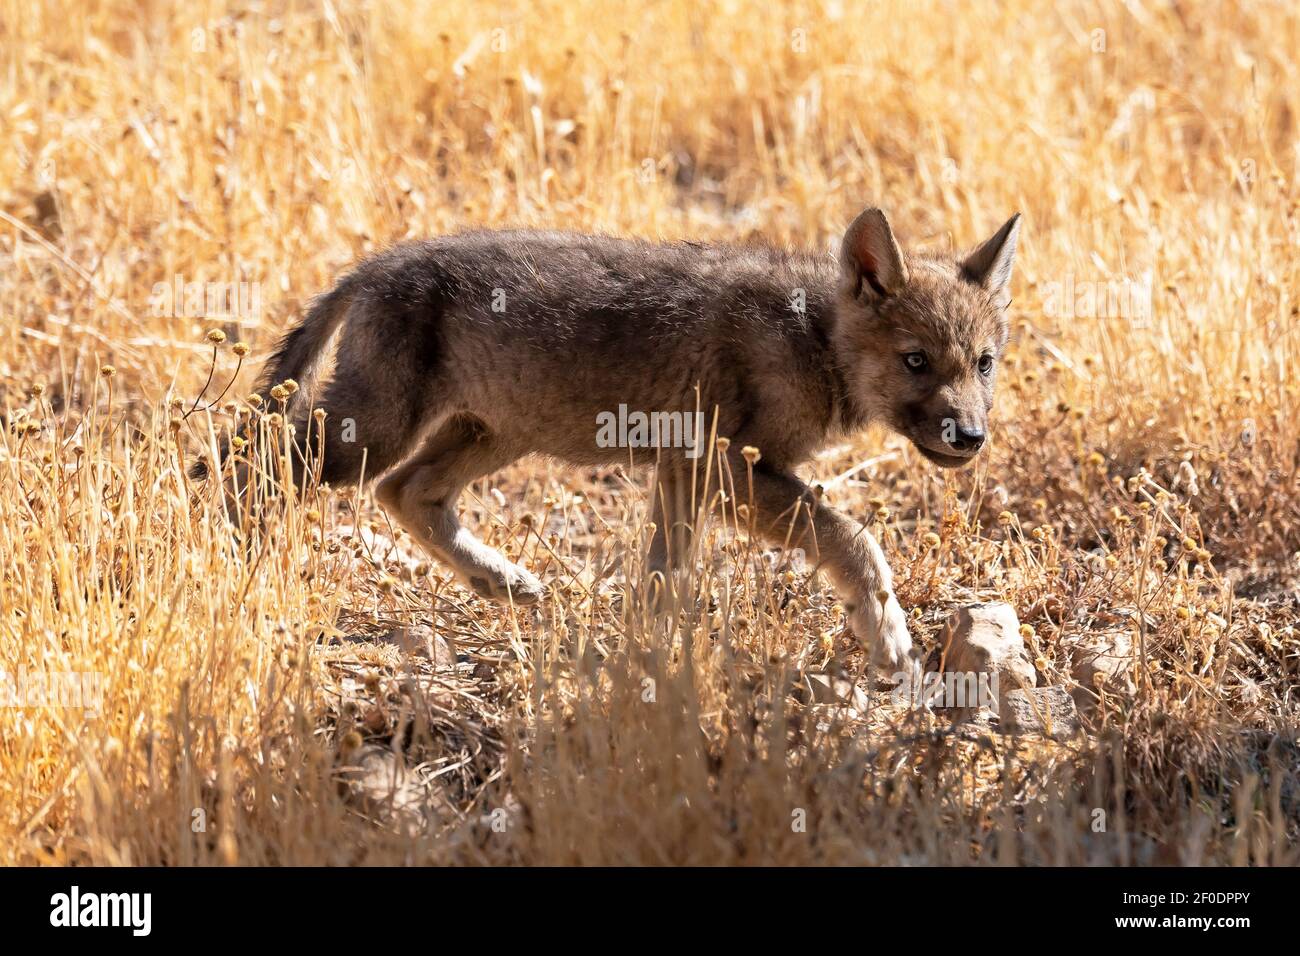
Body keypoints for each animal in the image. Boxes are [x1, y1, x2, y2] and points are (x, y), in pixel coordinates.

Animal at [194, 207, 1020, 669]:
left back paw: (502, 580)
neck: (814, 335)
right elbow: (856, 540)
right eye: (916, 362)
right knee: (256, 464)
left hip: (490, 432)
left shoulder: (683, 475)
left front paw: (647, 657)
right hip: (372, 433)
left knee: (405, 493)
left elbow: (661, 576)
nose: (970, 437)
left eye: (983, 364)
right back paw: (227, 565)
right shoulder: (726, 468)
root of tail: (374, 265)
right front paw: (886, 634)